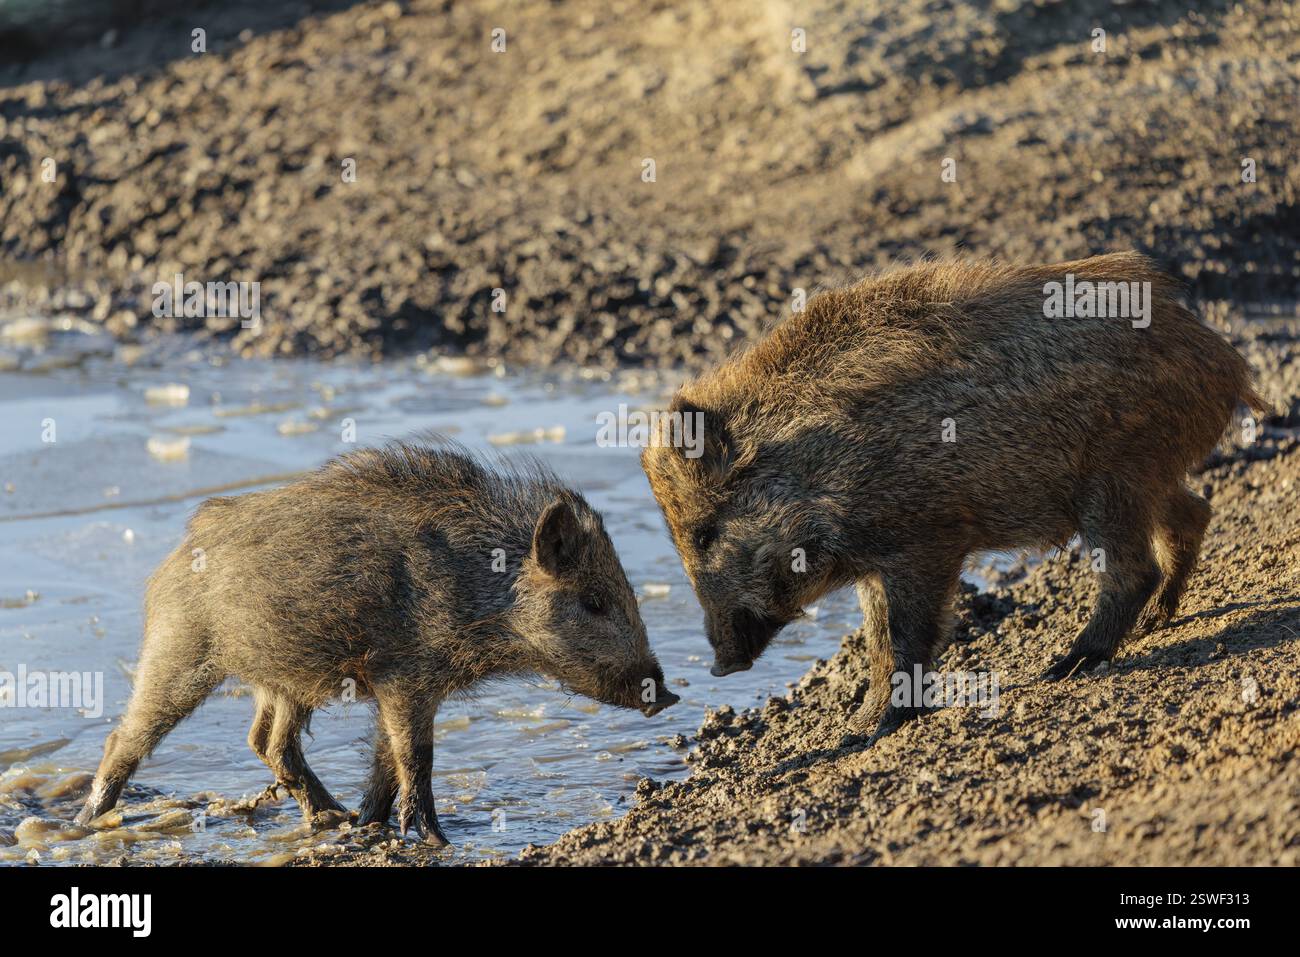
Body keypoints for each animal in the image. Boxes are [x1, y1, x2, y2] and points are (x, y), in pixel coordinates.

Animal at [76, 441, 678, 844]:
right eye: (594, 602)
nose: (666, 694)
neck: (486, 594)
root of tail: (179, 550)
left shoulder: (409, 687)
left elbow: (388, 760)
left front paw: (372, 825)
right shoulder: (405, 676)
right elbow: (416, 755)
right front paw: (432, 838)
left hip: (285, 680)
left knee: (268, 741)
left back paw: (333, 818)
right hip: (181, 649)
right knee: (126, 737)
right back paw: (88, 821)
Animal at [642, 252, 1266, 743]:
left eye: (705, 533)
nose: (720, 666)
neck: (816, 462)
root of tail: (1227, 363)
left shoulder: (925, 540)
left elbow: (906, 633)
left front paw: (880, 725)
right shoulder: (877, 562)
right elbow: (877, 640)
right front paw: (858, 725)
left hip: (1114, 477)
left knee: (1133, 569)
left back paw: (1065, 666)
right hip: (1145, 476)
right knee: (1194, 513)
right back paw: (1157, 623)